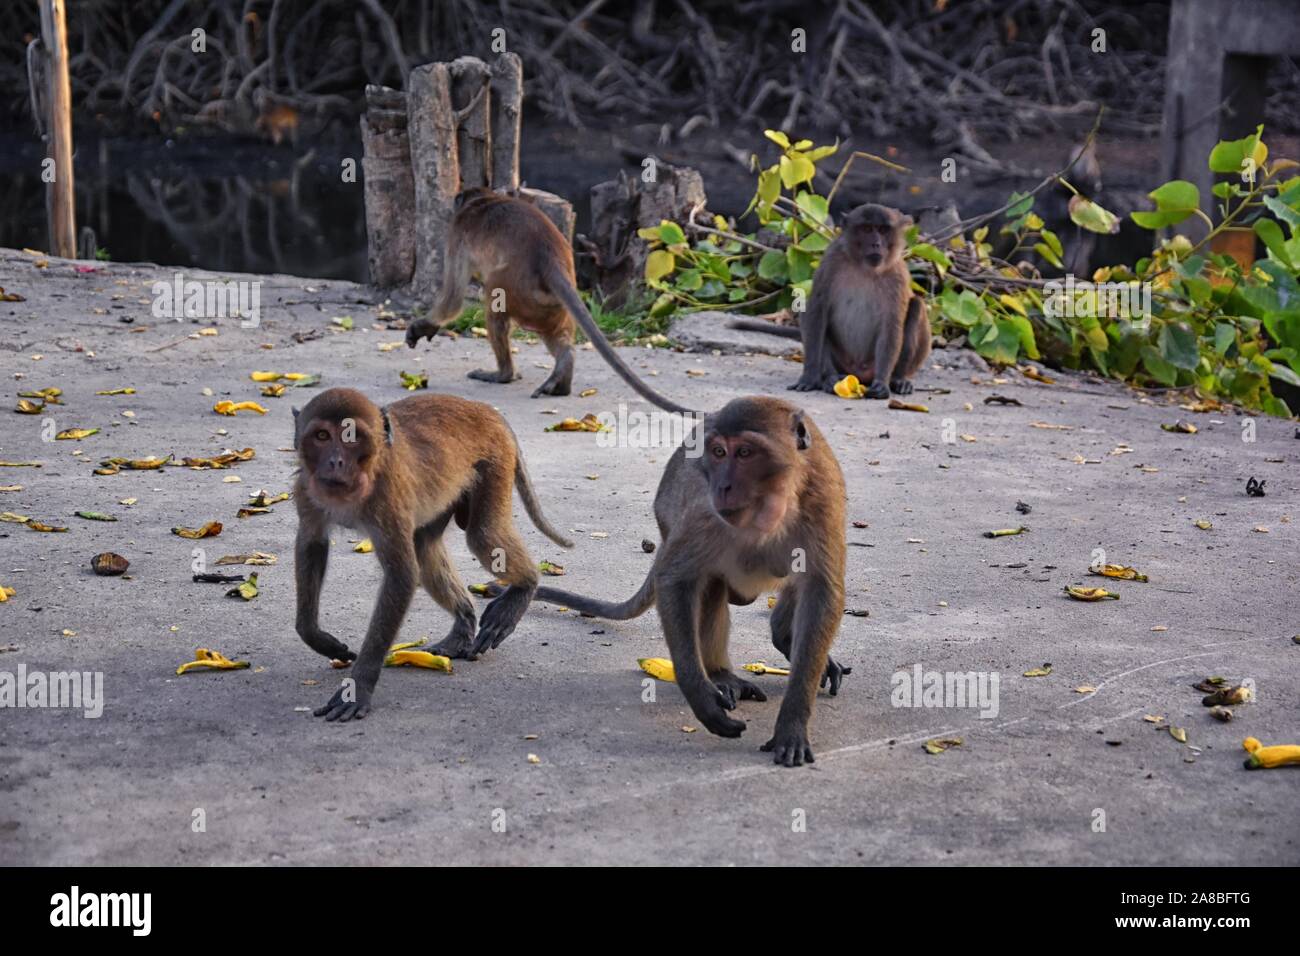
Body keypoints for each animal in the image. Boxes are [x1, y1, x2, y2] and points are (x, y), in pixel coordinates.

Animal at [292, 386, 572, 721]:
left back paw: (525, 586)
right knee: (425, 546)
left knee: (484, 536)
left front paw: (358, 687)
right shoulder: (305, 489)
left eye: (352, 437)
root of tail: (482, 408)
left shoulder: (389, 495)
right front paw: (319, 639)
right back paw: (463, 624)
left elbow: (401, 574)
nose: (335, 462)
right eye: (322, 436)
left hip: (495, 460)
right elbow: (311, 544)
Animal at [406, 188, 695, 415]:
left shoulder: (457, 232)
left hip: (517, 289)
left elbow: (454, 299)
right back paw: (563, 369)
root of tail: (551, 259)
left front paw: (424, 325)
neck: (484, 199)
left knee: (494, 297)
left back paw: (504, 375)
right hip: (548, 304)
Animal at [485, 396, 849, 766]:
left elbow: (821, 590)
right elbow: (675, 579)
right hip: (672, 517)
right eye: (719, 452)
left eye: (746, 453)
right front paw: (702, 696)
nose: (723, 486)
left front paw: (793, 721)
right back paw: (722, 674)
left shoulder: (821, 505)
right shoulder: (705, 511)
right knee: (710, 584)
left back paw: (783, 635)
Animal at [729, 203, 931, 399]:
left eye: (883, 230)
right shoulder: (831, 259)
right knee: (811, 311)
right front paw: (810, 377)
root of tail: (859, 373)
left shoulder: (898, 275)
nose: (876, 243)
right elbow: (817, 308)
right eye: (866, 229)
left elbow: (892, 323)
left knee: (916, 306)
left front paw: (882, 382)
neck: (865, 268)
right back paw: (830, 378)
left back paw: (898, 379)